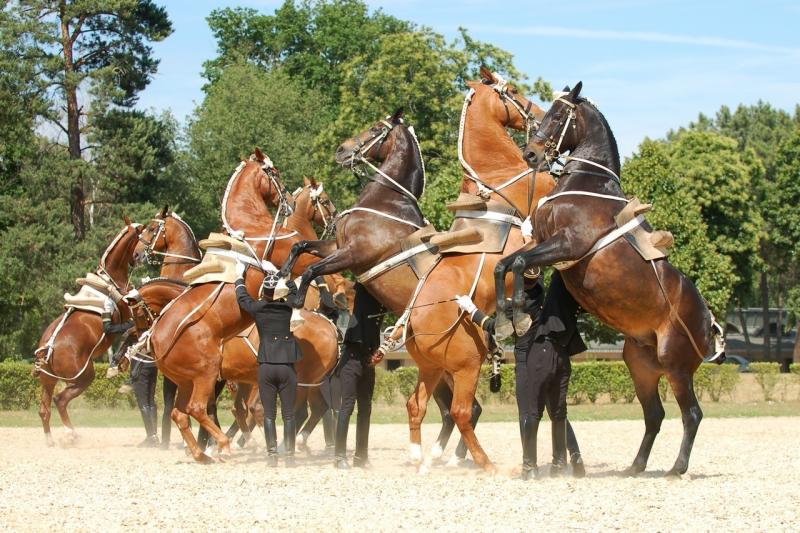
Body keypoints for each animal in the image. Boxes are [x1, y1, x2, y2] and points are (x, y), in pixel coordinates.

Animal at [33, 219, 142, 446]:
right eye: (143, 232)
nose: (139, 257)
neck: (109, 280)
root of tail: (48, 348)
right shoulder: (126, 318)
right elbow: (131, 332)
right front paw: (119, 364)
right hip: (84, 377)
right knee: (60, 400)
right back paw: (71, 434)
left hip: (48, 380)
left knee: (44, 409)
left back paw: (51, 440)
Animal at [146, 152, 337, 462]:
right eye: (274, 172)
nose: (288, 200)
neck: (251, 225)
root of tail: (155, 337)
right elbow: (311, 257)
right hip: (207, 372)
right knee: (197, 409)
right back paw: (223, 445)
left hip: (189, 380)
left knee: (181, 413)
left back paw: (203, 453)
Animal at [278, 73, 555, 472]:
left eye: (375, 128)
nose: (343, 150)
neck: (385, 203)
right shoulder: (339, 249)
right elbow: (302, 249)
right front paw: (278, 281)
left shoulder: (354, 254)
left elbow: (312, 267)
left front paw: (296, 298)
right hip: (439, 370)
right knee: (446, 408)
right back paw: (436, 456)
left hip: (458, 367)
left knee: (463, 409)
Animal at [494, 82, 719, 476]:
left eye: (557, 116)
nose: (531, 154)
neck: (587, 186)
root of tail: (708, 322)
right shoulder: (543, 242)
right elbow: (504, 265)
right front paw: (504, 314)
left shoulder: (568, 244)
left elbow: (518, 262)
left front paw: (518, 309)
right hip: (641, 366)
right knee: (654, 415)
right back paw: (635, 467)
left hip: (676, 367)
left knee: (691, 414)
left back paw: (676, 469)